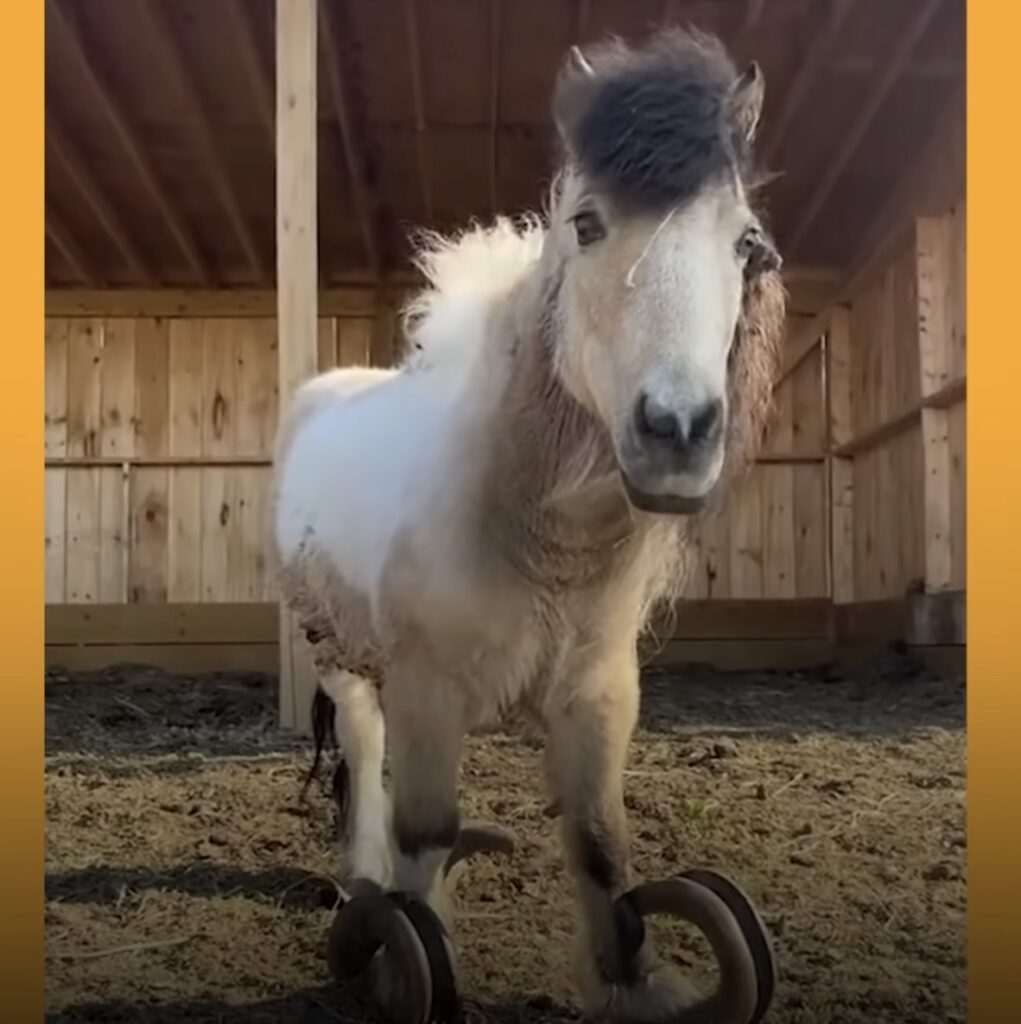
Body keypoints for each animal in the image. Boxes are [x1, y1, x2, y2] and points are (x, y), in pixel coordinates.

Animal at [273, 26, 785, 1024]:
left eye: (746, 244)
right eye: (585, 224)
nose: (675, 432)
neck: (534, 538)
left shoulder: (597, 689)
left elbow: (597, 840)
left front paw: (635, 977)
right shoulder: (428, 690)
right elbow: (424, 831)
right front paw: (402, 961)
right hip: (339, 655)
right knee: (362, 746)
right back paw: (360, 887)